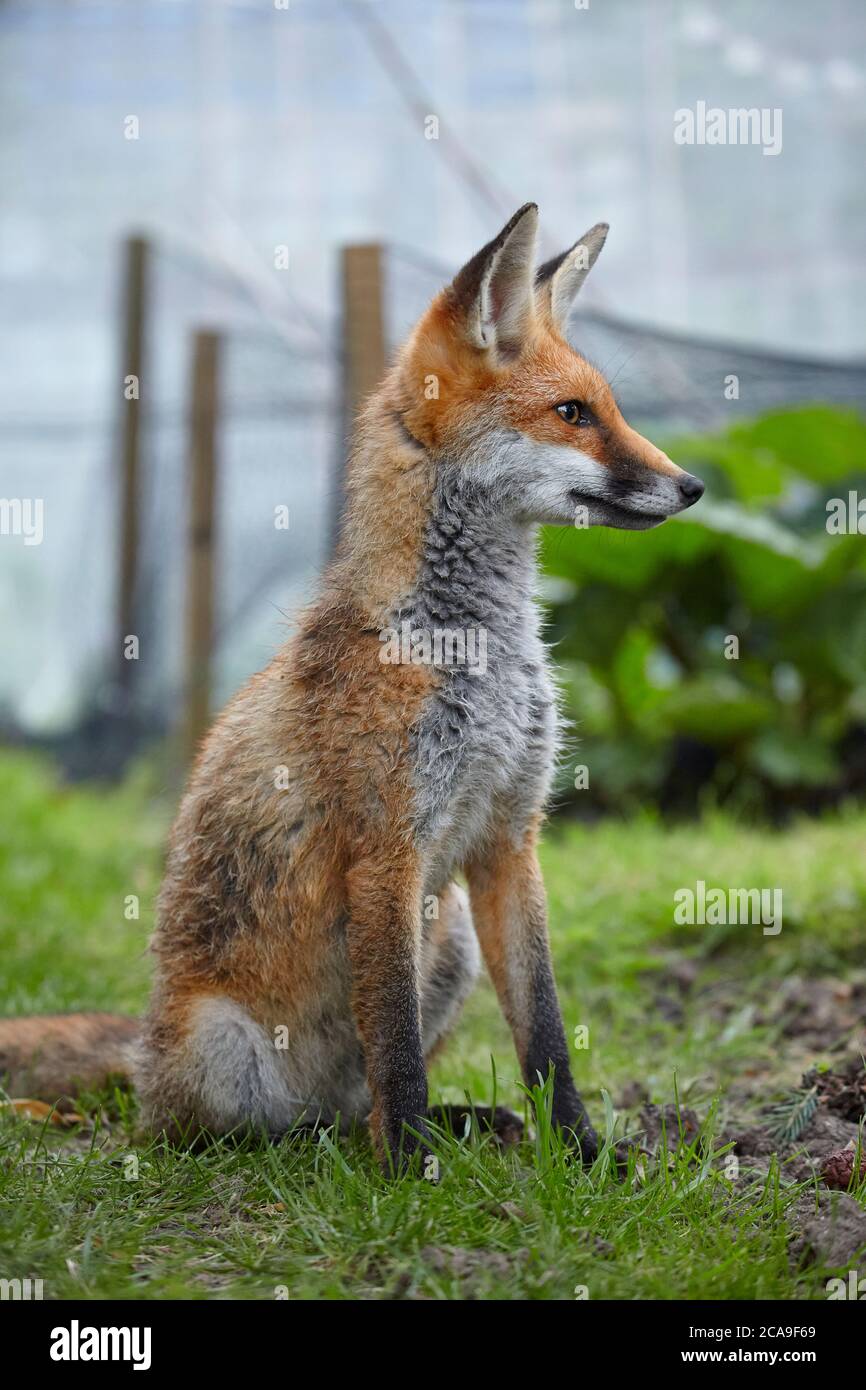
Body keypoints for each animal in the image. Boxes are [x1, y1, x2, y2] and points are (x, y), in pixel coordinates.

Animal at [0, 205, 703, 1169]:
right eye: (573, 415)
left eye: (613, 410)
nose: (692, 486)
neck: (477, 654)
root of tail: (144, 1058)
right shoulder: (387, 849)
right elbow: (396, 1040)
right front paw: (409, 1172)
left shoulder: (509, 840)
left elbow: (547, 1036)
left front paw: (583, 1154)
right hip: (228, 1052)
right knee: (262, 1128)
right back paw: (350, 1148)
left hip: (451, 934)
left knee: (347, 1104)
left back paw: (435, 1126)